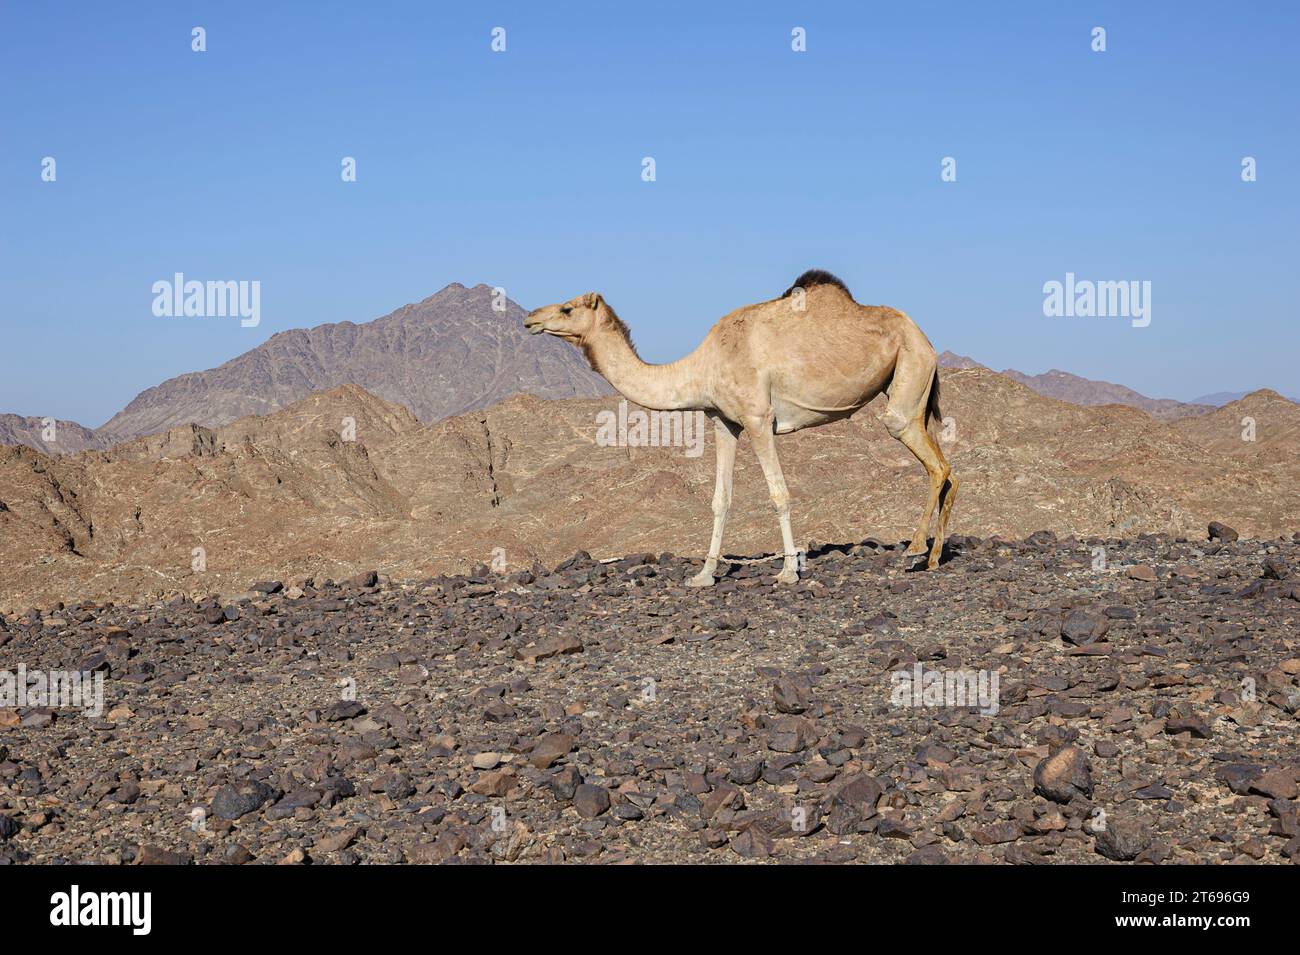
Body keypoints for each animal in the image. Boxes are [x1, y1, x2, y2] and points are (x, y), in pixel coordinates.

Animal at [524, 270, 959, 586]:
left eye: (566, 308)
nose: (530, 318)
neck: (703, 366)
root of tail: (924, 338)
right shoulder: (724, 422)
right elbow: (721, 499)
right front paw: (703, 575)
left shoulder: (758, 418)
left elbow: (779, 494)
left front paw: (788, 572)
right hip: (913, 390)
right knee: (948, 470)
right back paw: (935, 557)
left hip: (909, 378)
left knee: (934, 464)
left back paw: (915, 549)